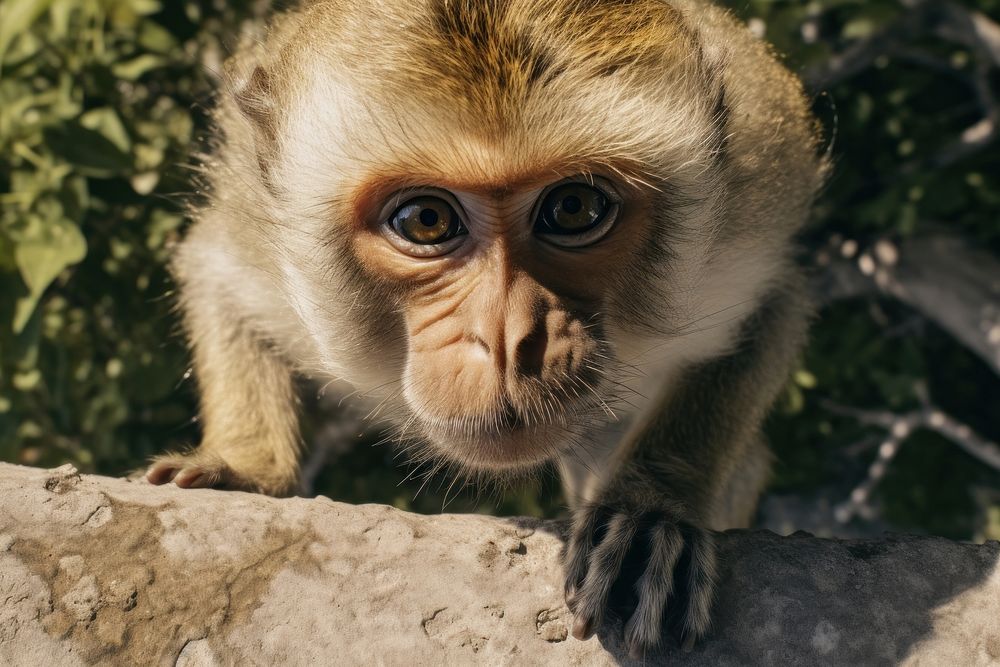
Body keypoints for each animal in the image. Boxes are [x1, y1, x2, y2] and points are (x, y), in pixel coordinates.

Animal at [145, 0, 827, 656]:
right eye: (425, 220)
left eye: (573, 207)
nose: (506, 341)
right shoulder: (257, 221)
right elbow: (214, 269)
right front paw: (245, 462)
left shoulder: (745, 220)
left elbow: (775, 301)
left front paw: (654, 507)